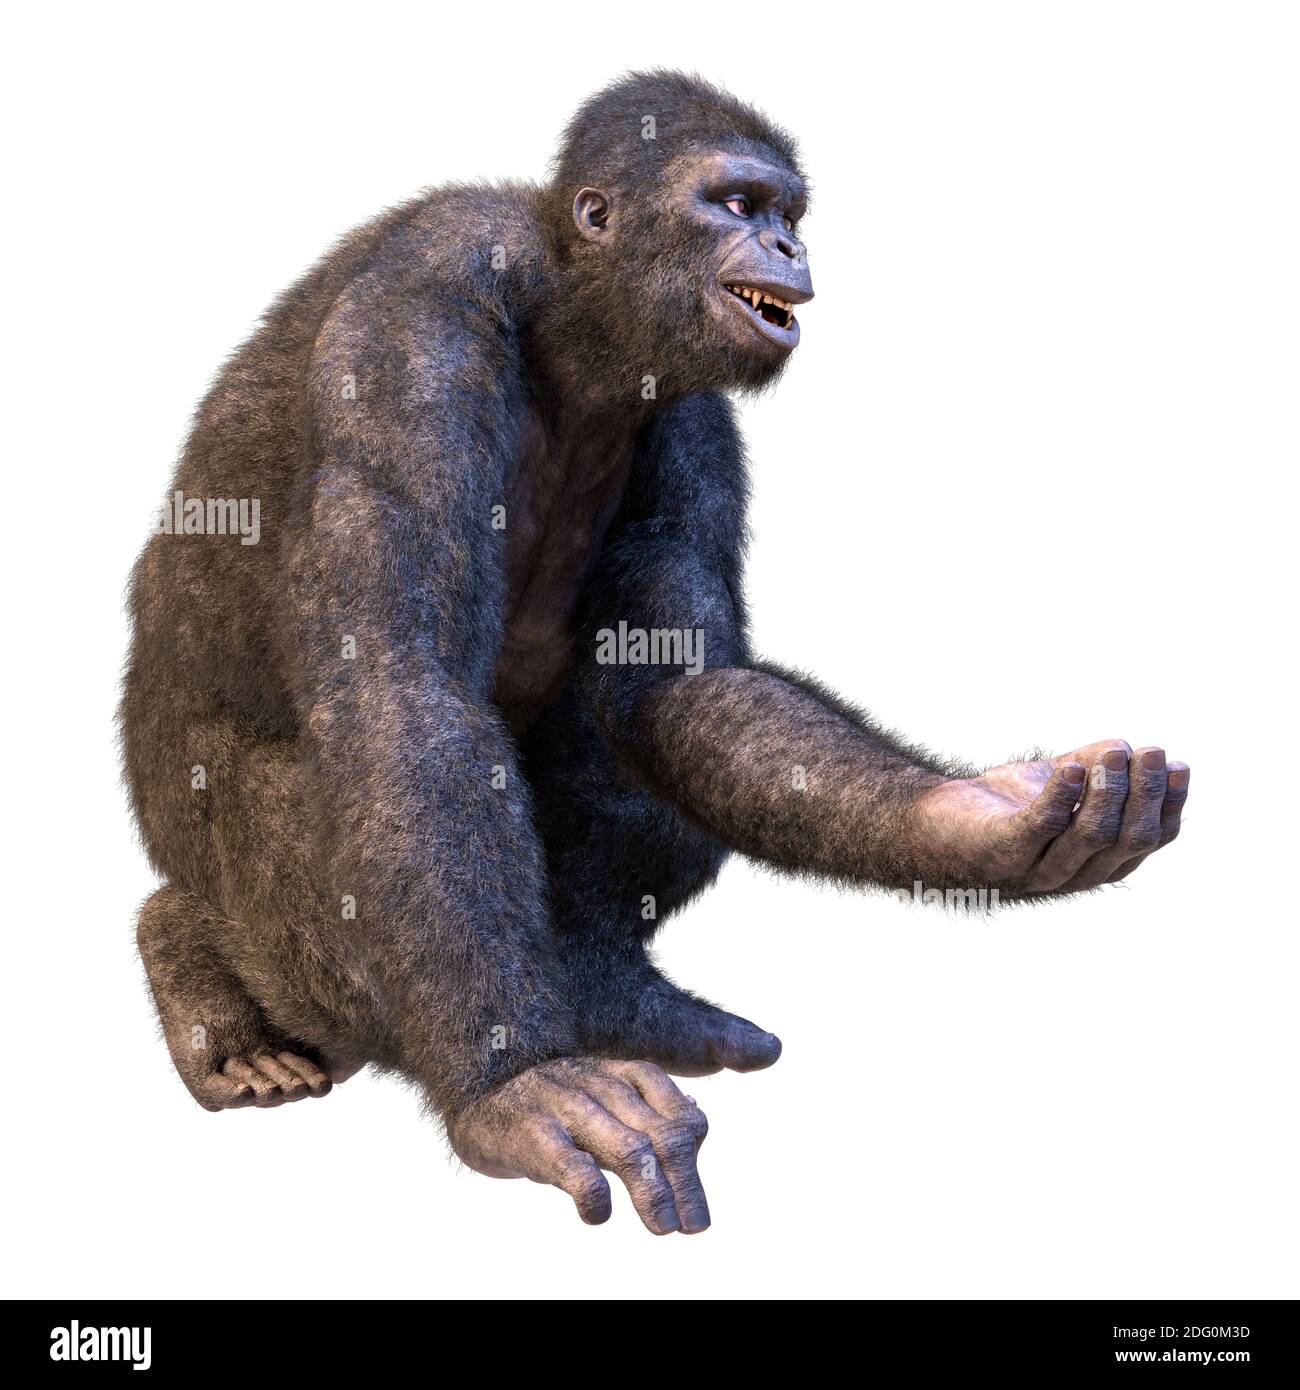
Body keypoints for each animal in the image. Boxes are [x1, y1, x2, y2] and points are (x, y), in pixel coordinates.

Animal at [122, 70, 1190, 1235]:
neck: (573, 319)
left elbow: (675, 681)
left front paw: (975, 818)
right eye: (734, 203)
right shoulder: (407, 337)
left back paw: (613, 996)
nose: (784, 245)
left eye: (786, 211)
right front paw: (515, 1081)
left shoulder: (695, 422)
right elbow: (404, 692)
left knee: (636, 747)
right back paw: (204, 977)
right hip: (226, 865)